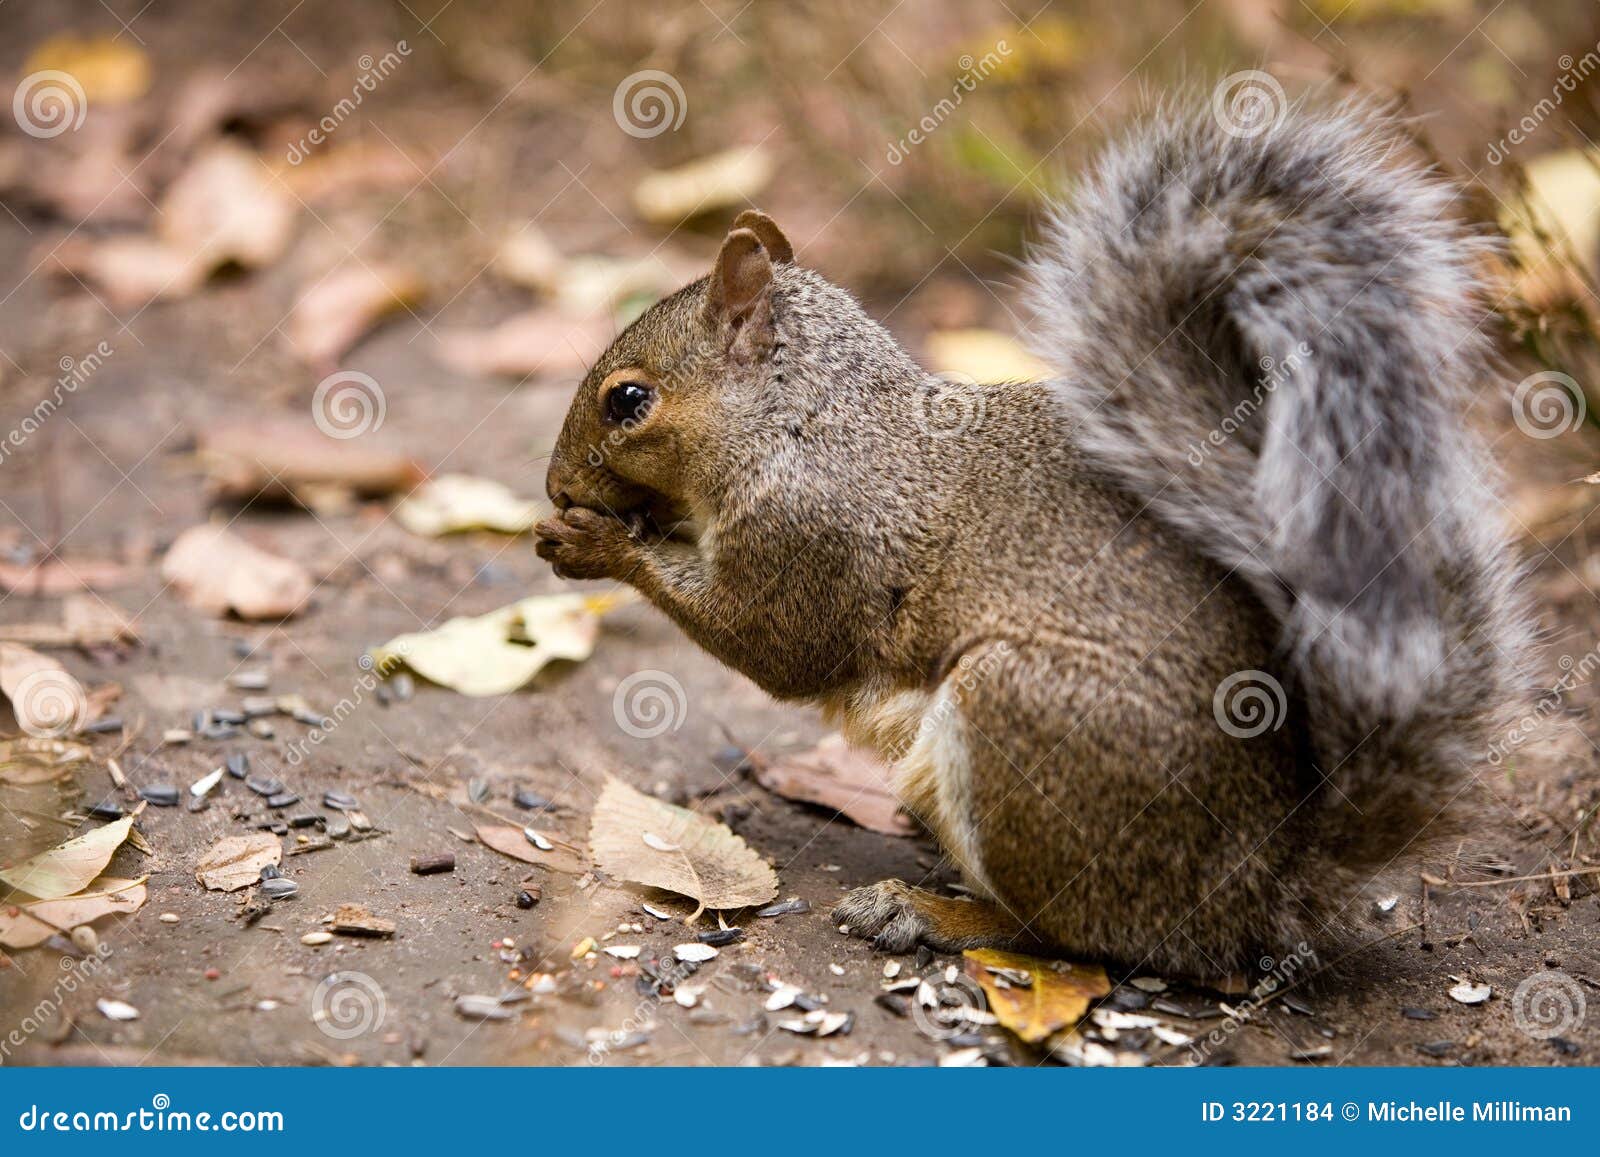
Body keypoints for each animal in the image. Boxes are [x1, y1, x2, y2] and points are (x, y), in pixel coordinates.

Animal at [535, 99, 1534, 976]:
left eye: (629, 401)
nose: (555, 485)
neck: (807, 419)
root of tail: (1262, 887)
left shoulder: (810, 537)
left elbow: (776, 645)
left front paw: (596, 544)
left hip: (1023, 724)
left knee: (1074, 933)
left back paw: (930, 910)